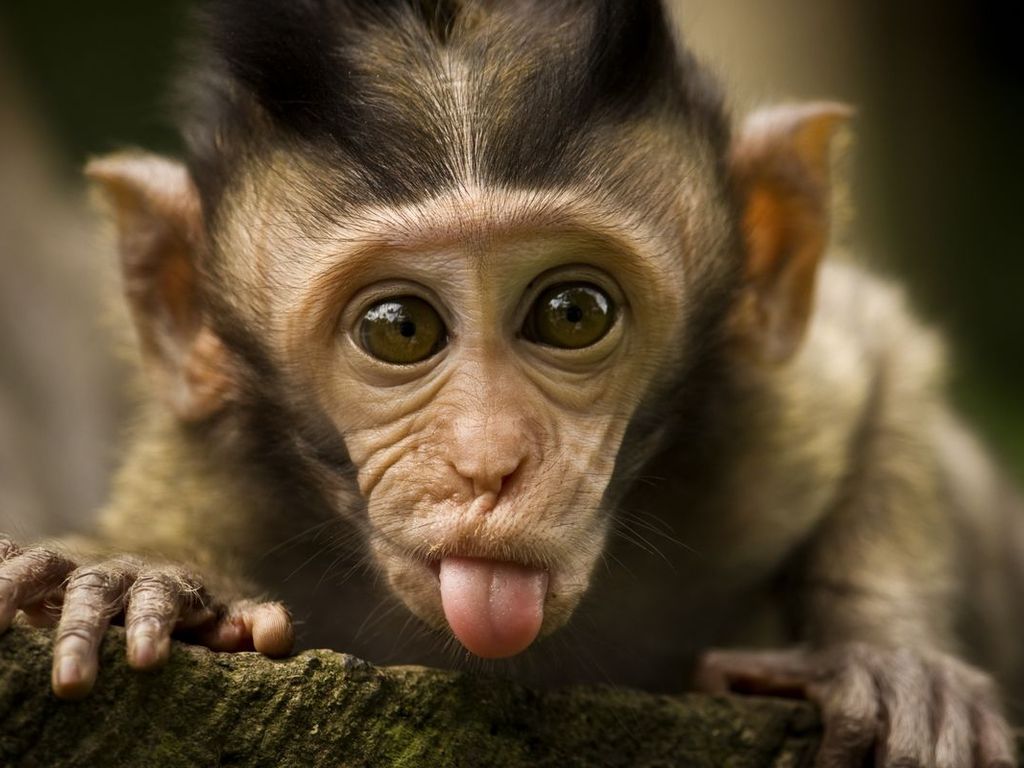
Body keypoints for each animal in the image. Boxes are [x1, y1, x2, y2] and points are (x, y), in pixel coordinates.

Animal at [1, 1, 1022, 765]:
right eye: (399, 329)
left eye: (572, 313)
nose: (488, 464)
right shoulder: (214, 476)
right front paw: (142, 577)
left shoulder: (766, 433)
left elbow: (883, 356)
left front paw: (889, 655)